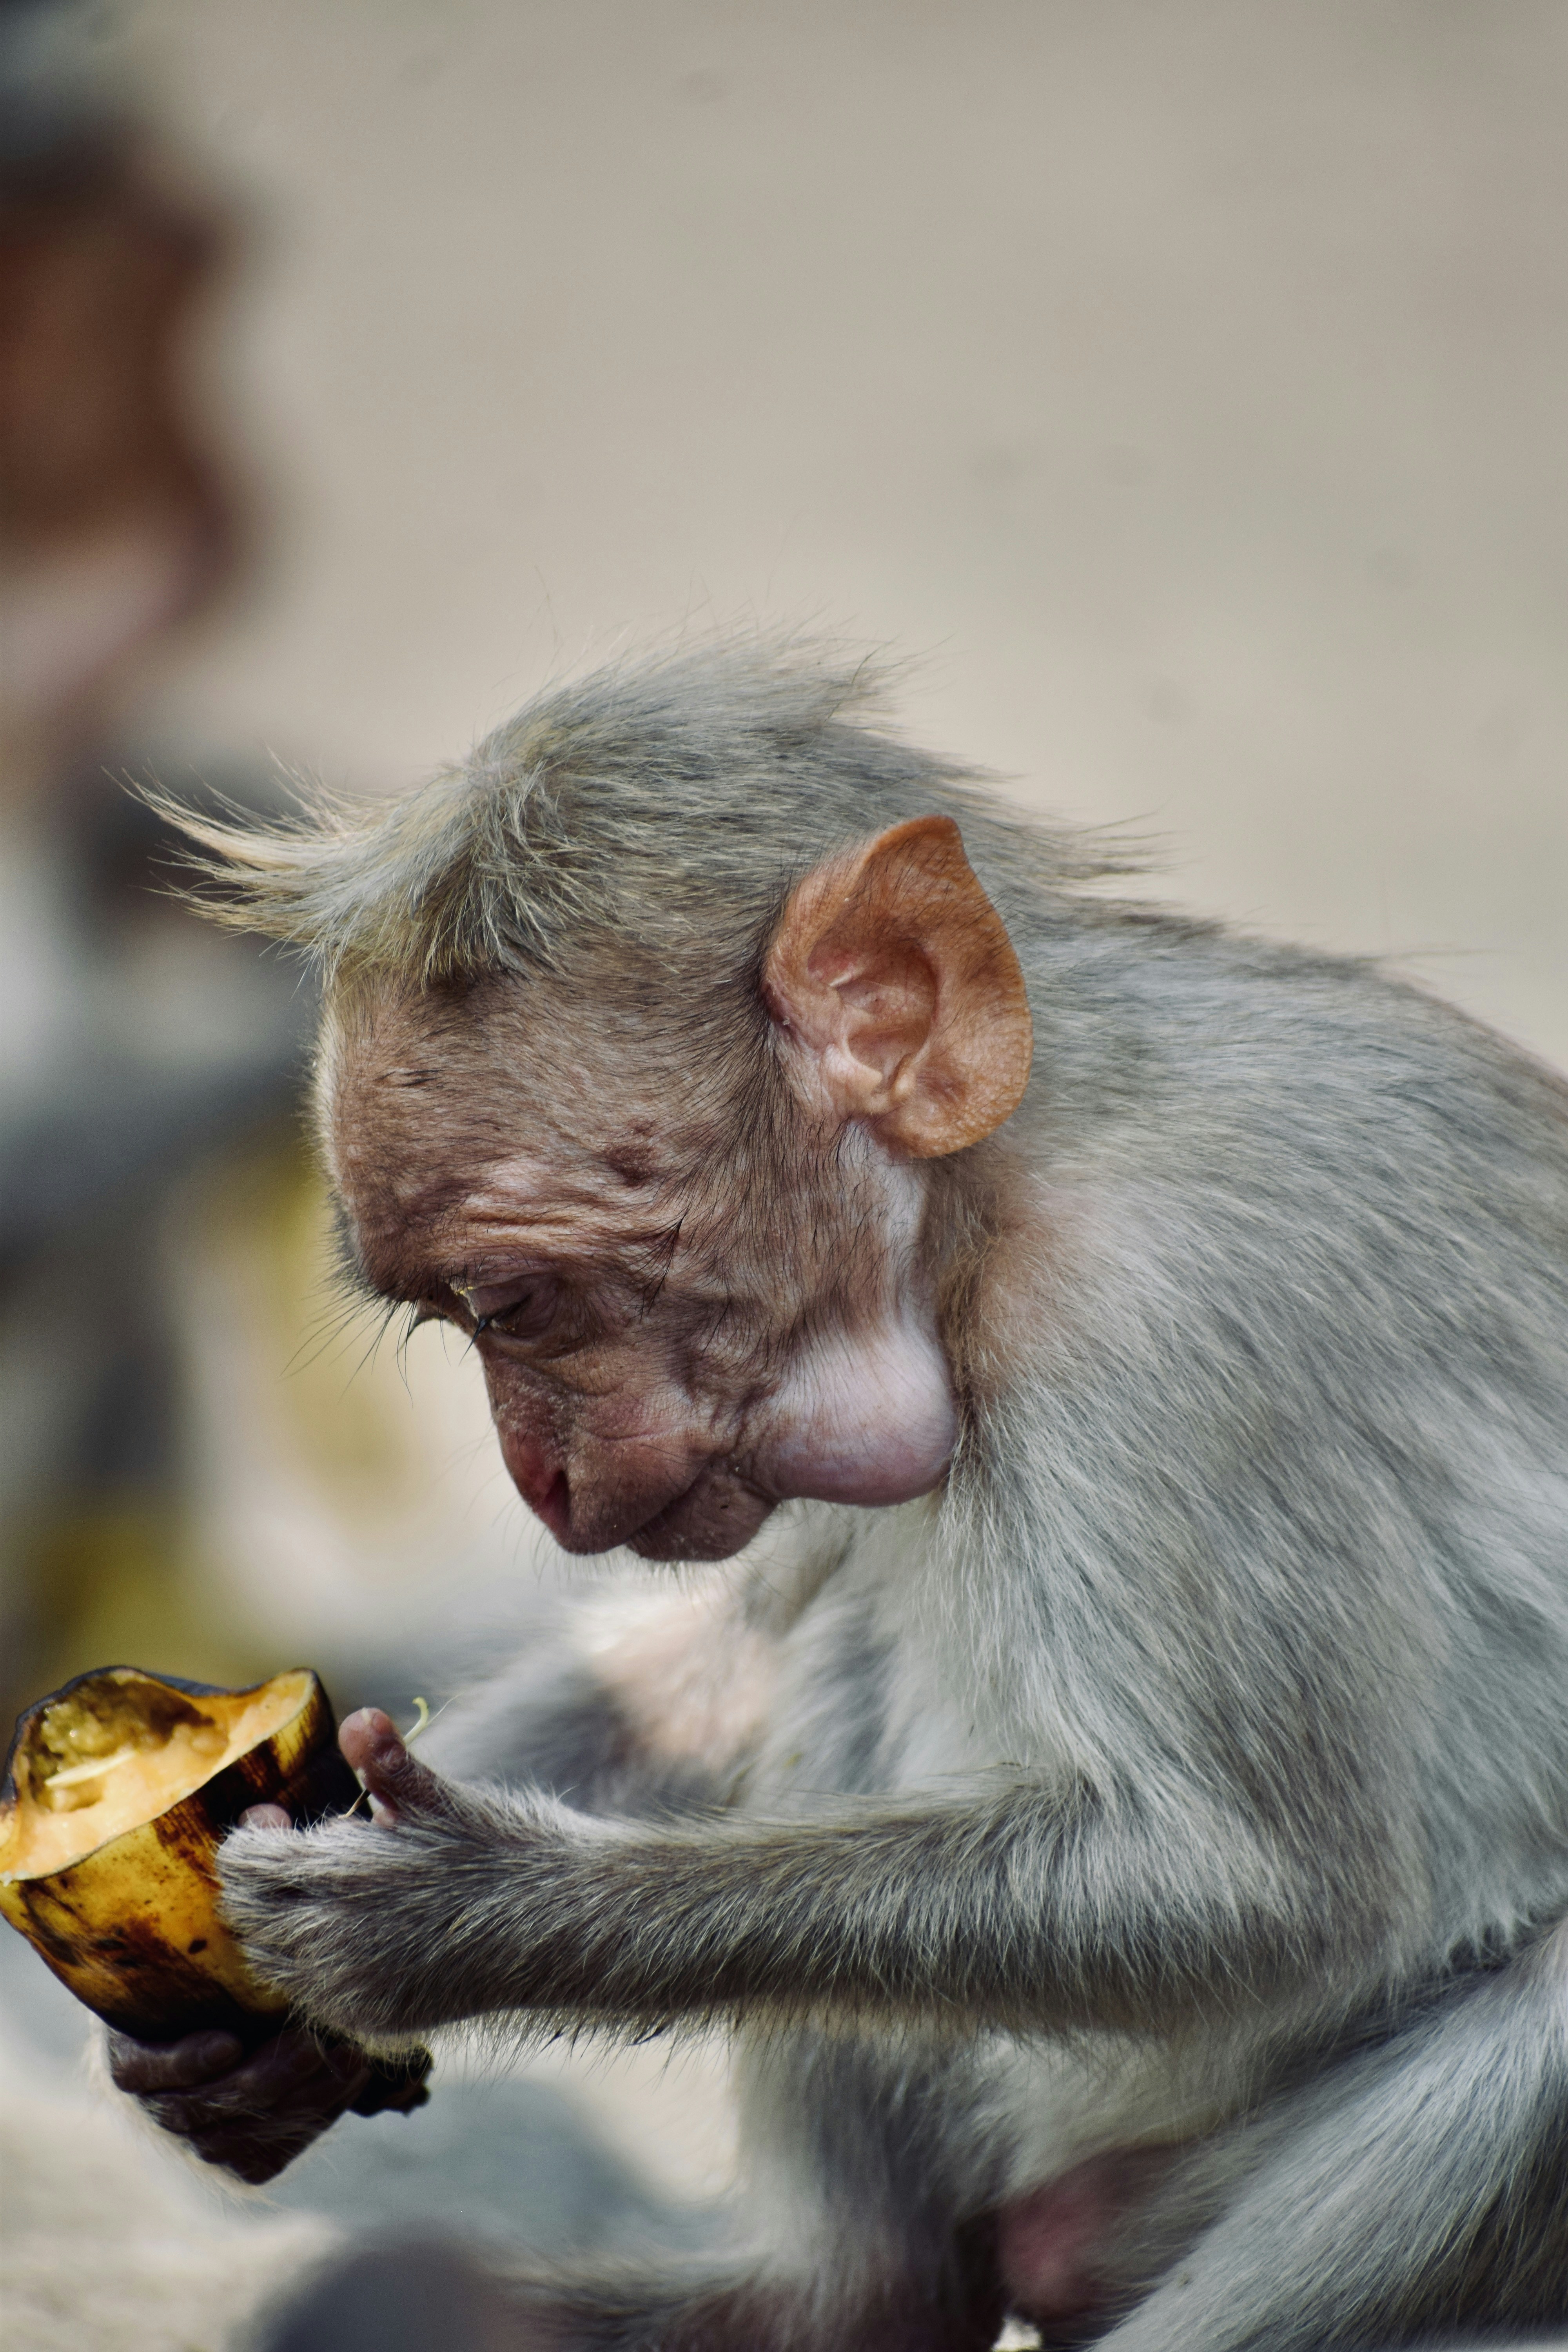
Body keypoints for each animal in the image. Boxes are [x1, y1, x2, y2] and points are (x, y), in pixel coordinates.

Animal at [110, 640, 1568, 2347]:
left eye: (516, 1306)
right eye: (459, 1320)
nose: (540, 1478)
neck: (996, 1198)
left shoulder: (1178, 1311)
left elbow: (1247, 1886)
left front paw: (463, 1912)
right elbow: (726, 1654)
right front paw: (246, 2033)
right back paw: (842, 2297)